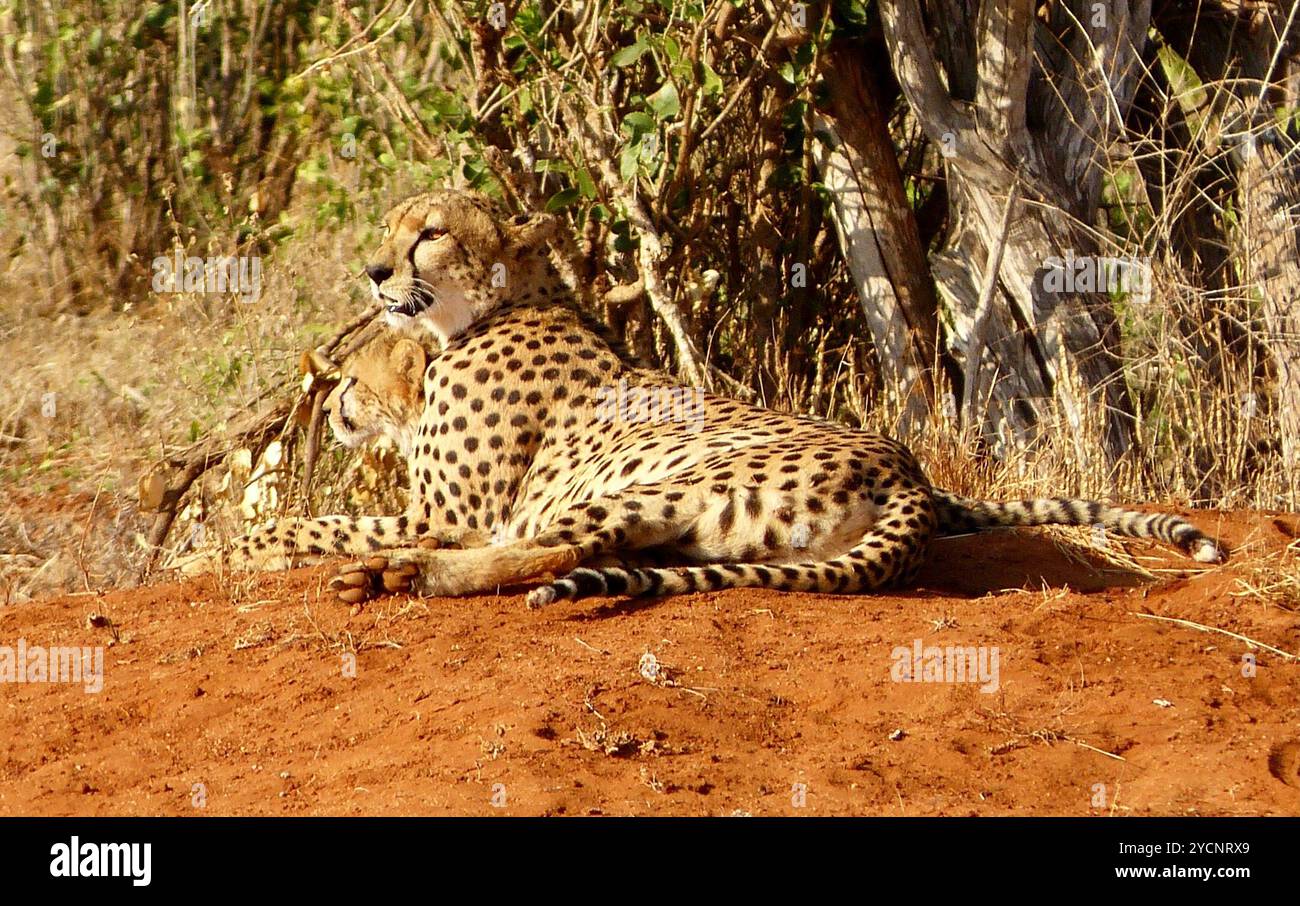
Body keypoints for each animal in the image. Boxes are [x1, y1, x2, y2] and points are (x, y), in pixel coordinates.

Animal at [205, 189, 1226, 607]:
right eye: (389, 231)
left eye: (430, 234)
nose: (375, 274)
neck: (497, 305)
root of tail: (907, 478)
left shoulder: (454, 512)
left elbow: (325, 522)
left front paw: (220, 551)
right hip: (708, 531)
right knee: (592, 553)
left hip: (656, 482)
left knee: (548, 547)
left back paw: (401, 578)